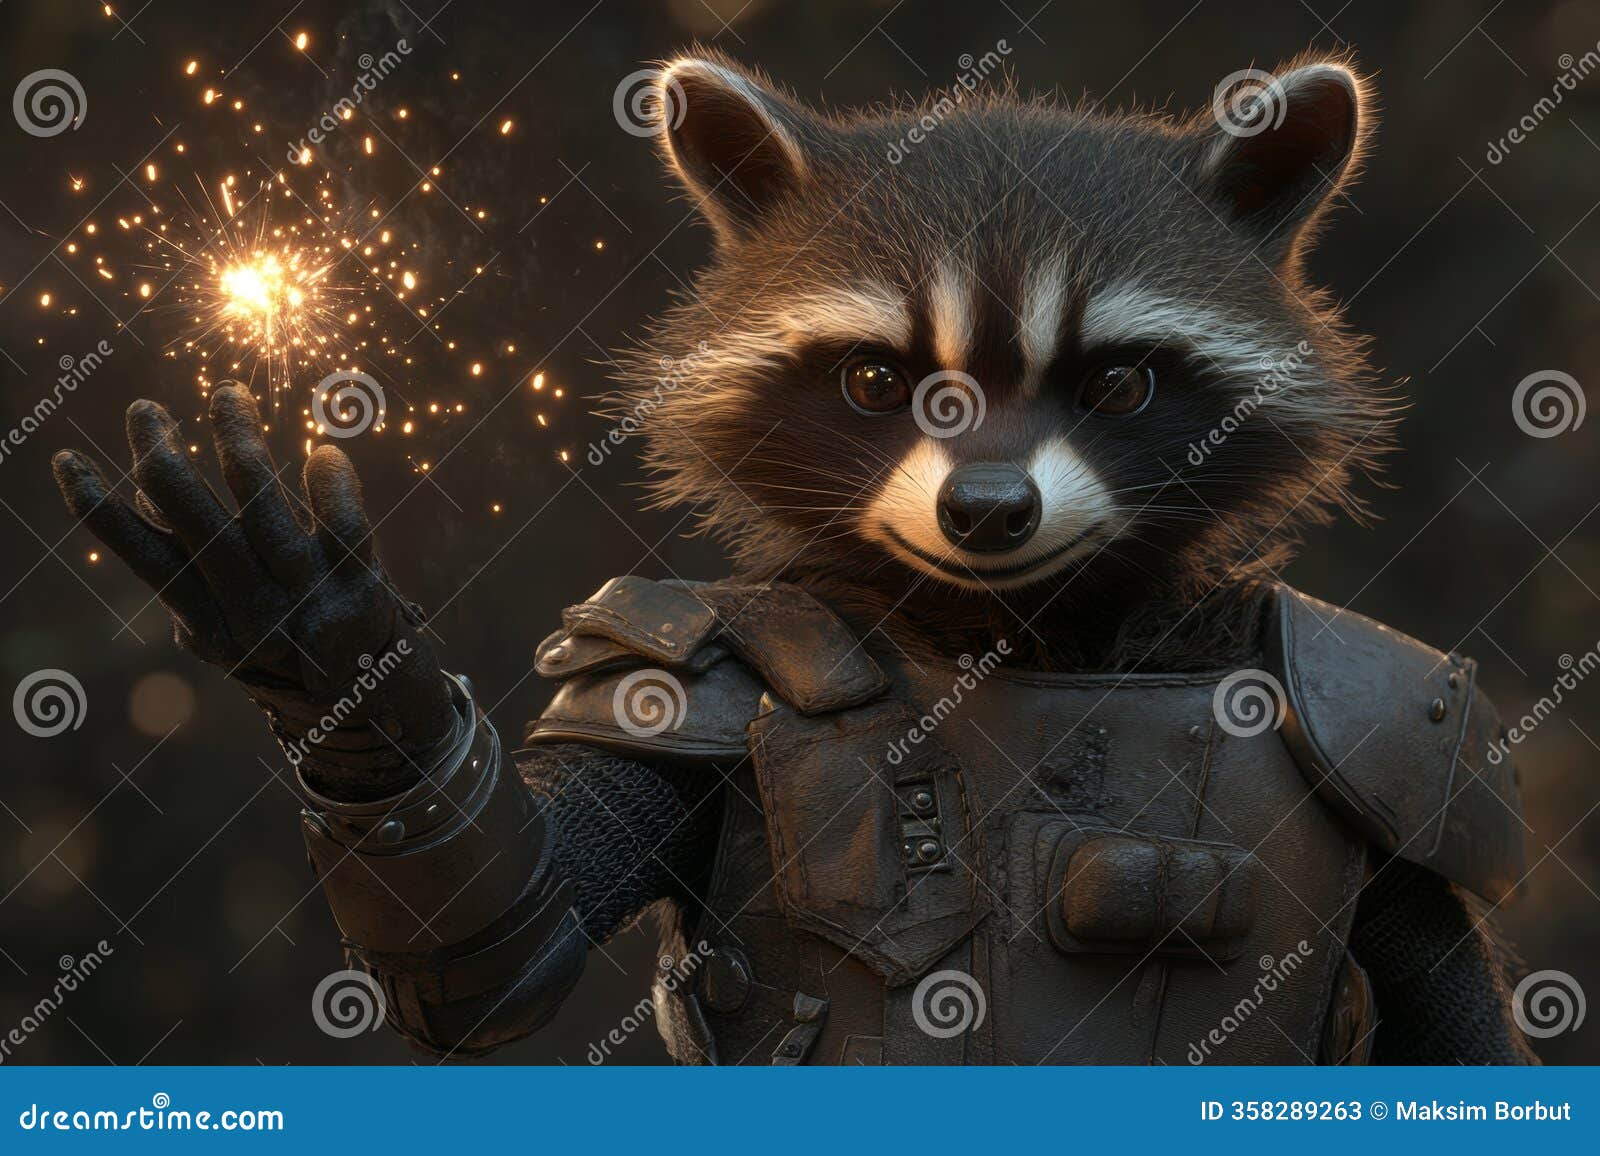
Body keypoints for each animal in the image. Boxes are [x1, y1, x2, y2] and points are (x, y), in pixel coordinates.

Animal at [54, 50, 1531, 1066]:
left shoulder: (1394, 726)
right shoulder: (671, 664)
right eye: (879, 381)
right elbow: (505, 947)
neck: (1026, 625)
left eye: (1116, 386)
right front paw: (332, 654)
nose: (988, 510)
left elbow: (1453, 1019)